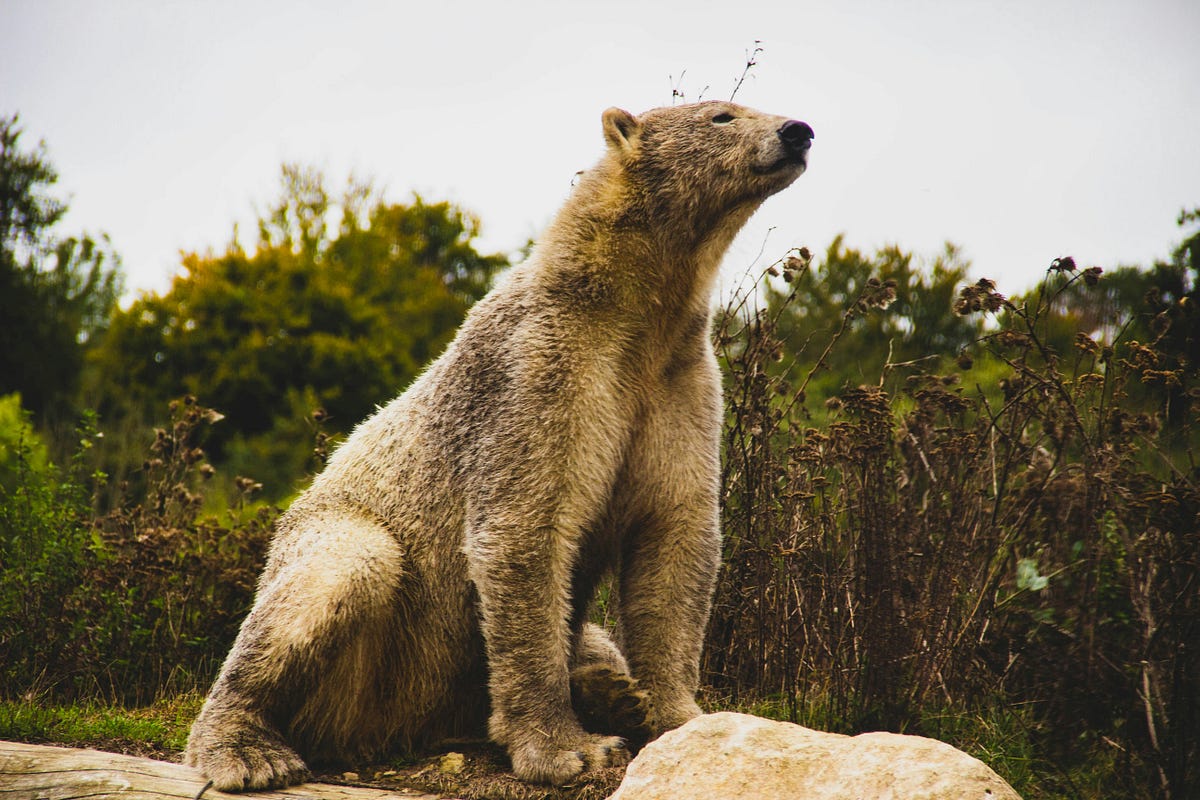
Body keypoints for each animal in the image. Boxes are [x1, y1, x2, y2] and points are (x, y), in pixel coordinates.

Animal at [184, 99, 813, 791]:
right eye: (723, 115)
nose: (797, 131)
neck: (624, 308)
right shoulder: (536, 372)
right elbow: (523, 531)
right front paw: (569, 750)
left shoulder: (680, 382)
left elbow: (675, 533)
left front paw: (676, 714)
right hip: (350, 597)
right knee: (341, 572)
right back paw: (248, 750)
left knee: (593, 636)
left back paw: (610, 689)